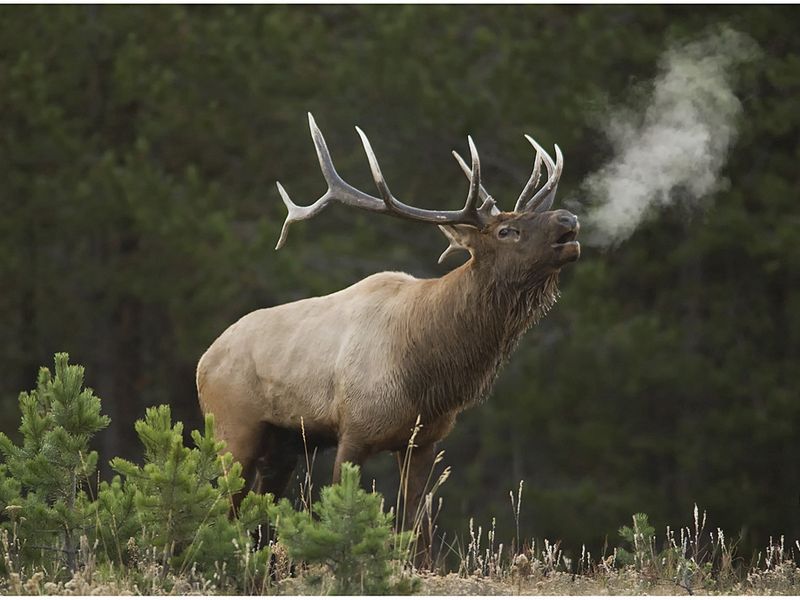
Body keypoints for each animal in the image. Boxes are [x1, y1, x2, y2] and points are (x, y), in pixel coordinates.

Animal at [197, 113, 580, 527]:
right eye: (506, 230)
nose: (568, 217)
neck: (426, 373)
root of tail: (203, 361)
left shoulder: (424, 441)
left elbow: (416, 526)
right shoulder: (354, 430)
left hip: (283, 445)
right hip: (232, 426)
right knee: (219, 509)